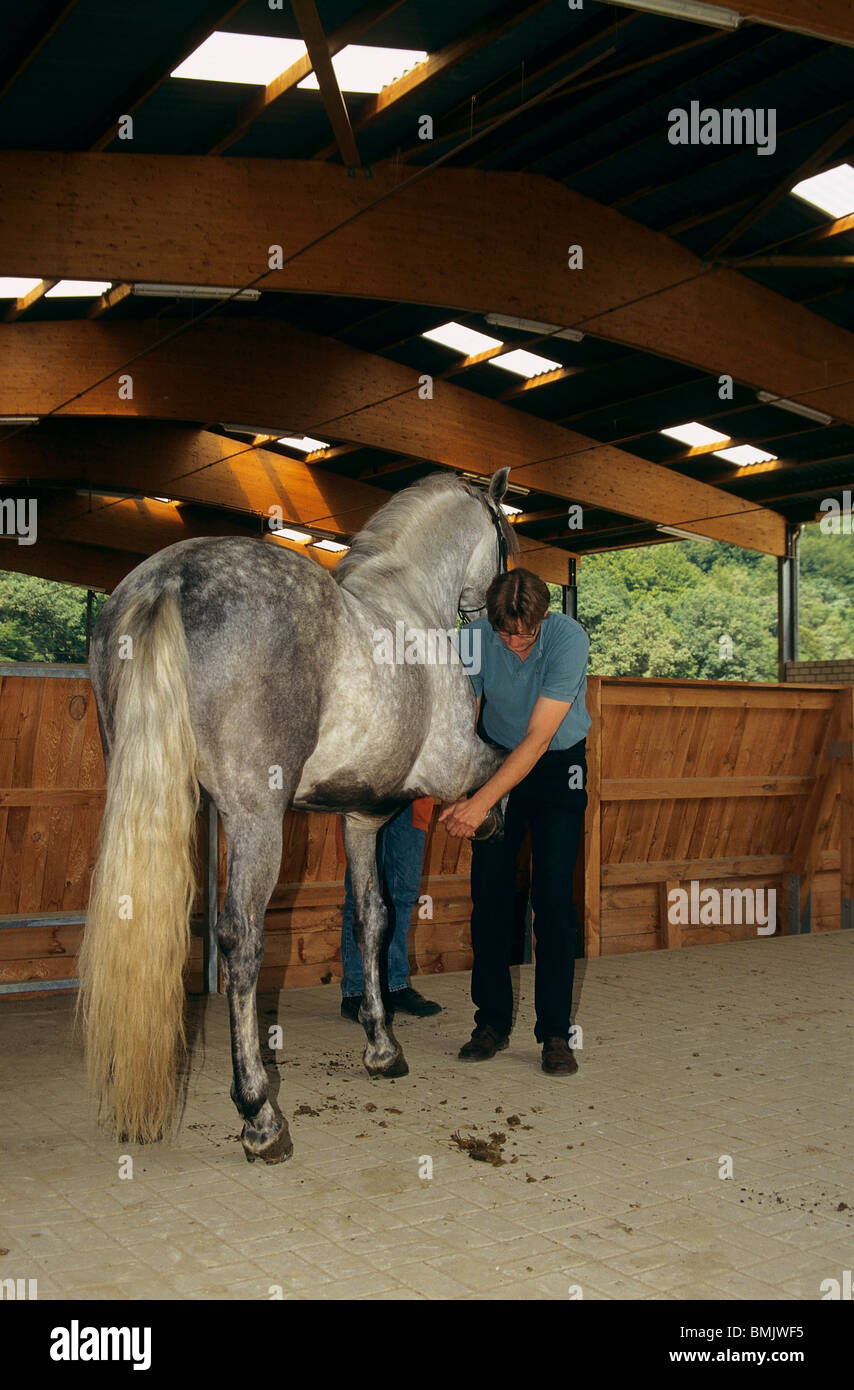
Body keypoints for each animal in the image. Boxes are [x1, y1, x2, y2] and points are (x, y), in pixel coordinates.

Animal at [78, 467, 519, 1164]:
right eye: (508, 542)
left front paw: (380, 1046)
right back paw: (260, 1114)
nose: (502, 620)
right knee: (242, 940)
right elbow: (497, 769)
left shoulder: (359, 819)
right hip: (256, 821)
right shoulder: (449, 771)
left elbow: (369, 919)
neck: (408, 606)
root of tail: (164, 582)